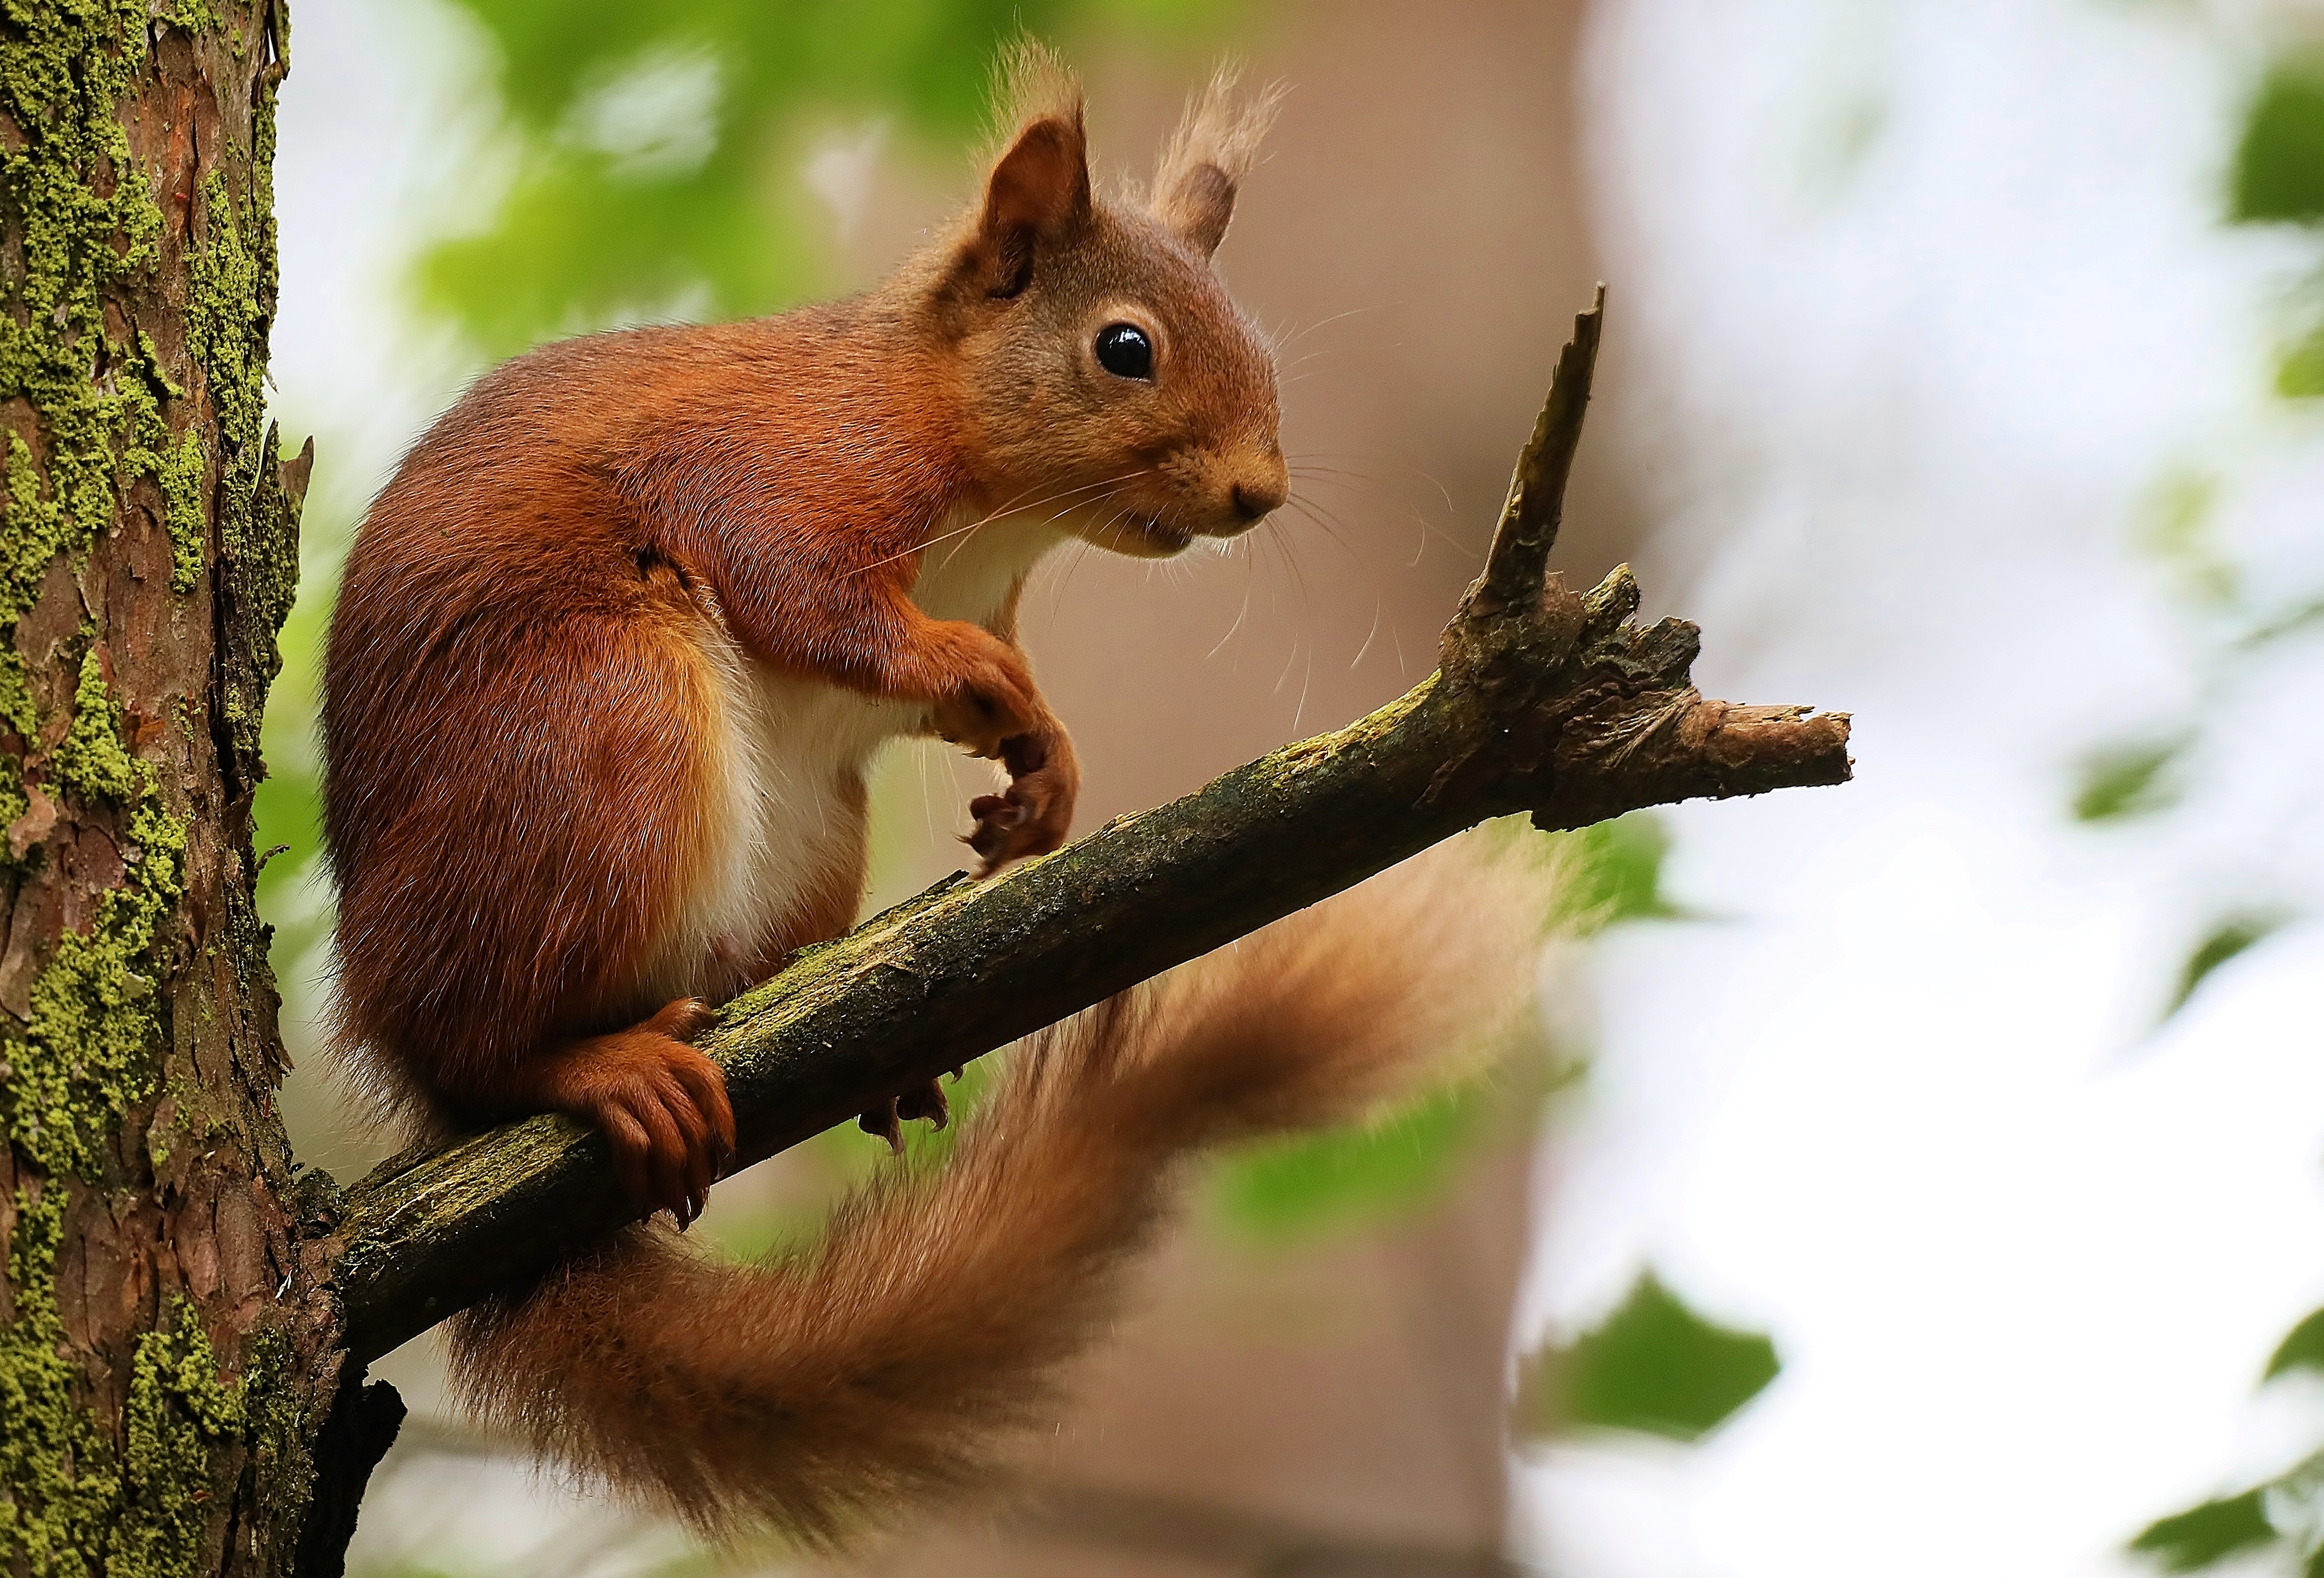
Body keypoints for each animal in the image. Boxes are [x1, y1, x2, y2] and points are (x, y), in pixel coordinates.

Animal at [322, 49, 1549, 1544]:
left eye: (1259, 345)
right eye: (1124, 348)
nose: (1257, 493)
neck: (995, 492)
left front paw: (1045, 769)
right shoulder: (781, 477)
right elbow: (812, 597)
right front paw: (978, 679)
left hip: (808, 834)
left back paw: (869, 1042)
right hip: (599, 735)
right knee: (481, 1041)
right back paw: (583, 1062)